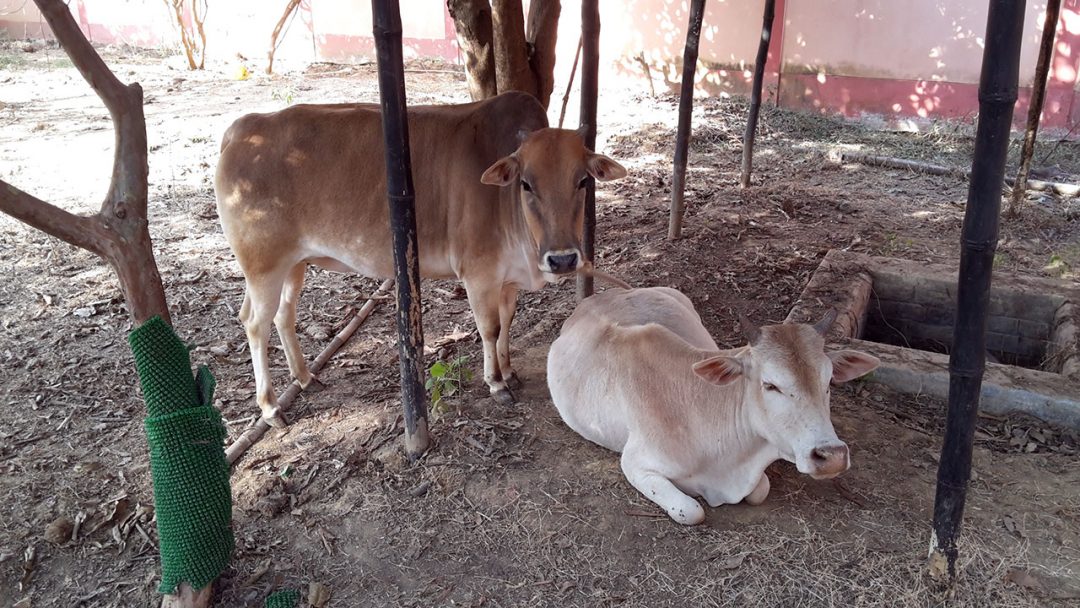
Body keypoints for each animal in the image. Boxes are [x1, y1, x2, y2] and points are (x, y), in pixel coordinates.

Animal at [215, 91, 627, 427]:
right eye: (526, 183)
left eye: (582, 181)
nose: (563, 260)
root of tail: (241, 128)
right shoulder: (478, 275)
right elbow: (490, 329)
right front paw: (496, 383)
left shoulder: (506, 279)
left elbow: (507, 322)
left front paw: (509, 371)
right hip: (263, 266)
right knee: (255, 324)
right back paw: (270, 407)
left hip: (294, 265)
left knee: (283, 316)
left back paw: (304, 377)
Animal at [546, 287, 880, 525]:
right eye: (770, 384)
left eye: (828, 382)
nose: (832, 456)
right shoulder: (635, 463)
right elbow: (692, 511)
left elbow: (759, 490)